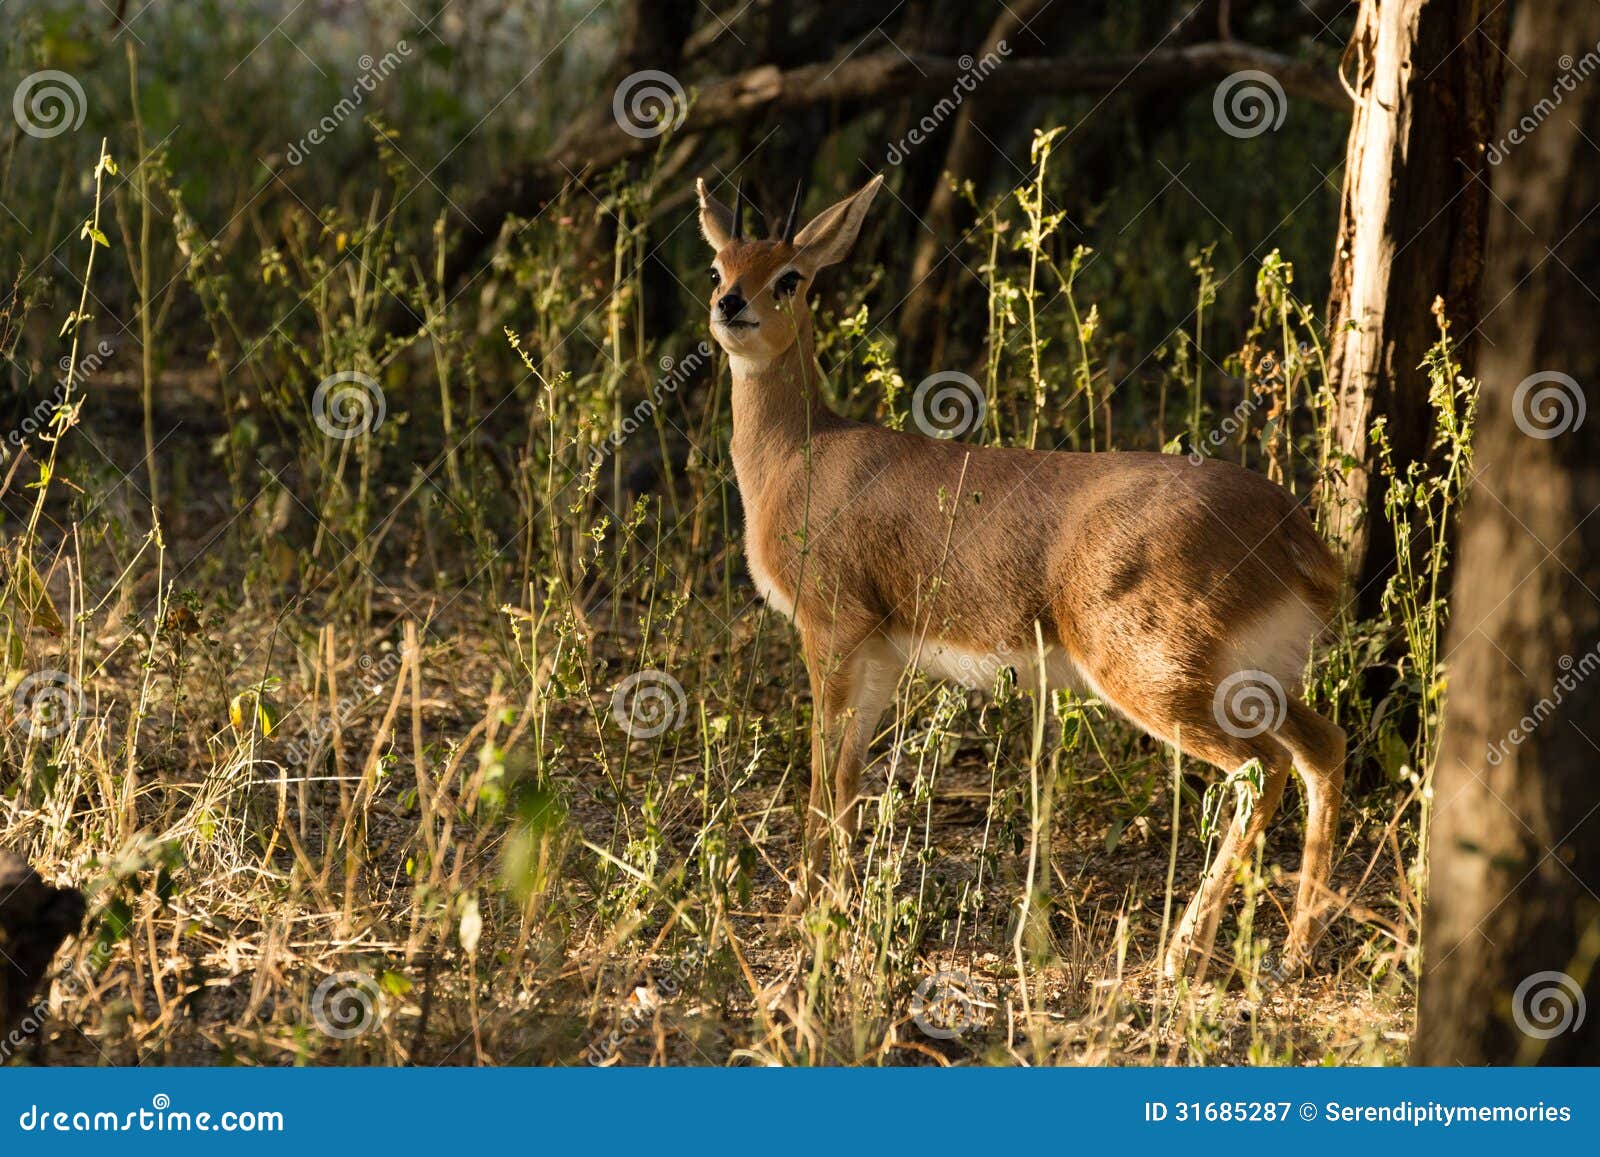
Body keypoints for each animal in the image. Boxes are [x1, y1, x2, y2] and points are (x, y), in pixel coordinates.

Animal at [696, 174, 1346, 978]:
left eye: (790, 276)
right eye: (717, 266)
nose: (731, 305)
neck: (800, 456)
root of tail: (1293, 532)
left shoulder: (834, 629)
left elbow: (823, 771)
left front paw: (804, 915)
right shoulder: (880, 651)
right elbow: (847, 774)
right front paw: (827, 909)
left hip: (1157, 676)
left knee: (1258, 768)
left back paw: (1178, 955)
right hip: (1258, 677)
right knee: (1322, 748)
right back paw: (1295, 946)